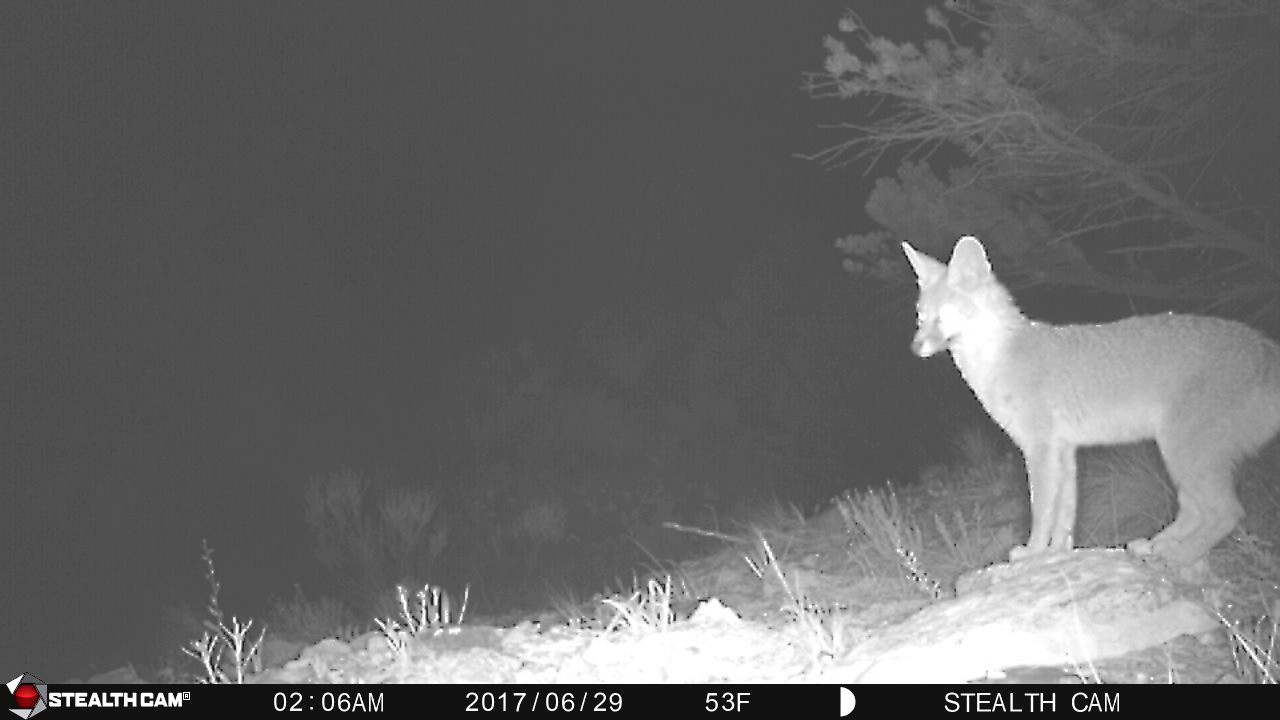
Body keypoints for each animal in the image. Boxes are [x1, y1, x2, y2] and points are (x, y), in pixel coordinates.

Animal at [903, 235, 1280, 565]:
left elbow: (1041, 509)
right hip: (1183, 459)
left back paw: (1177, 556)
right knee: (1196, 510)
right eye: (920, 316)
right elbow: (1064, 516)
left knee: (1226, 512)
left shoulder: (1040, 448)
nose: (914, 347)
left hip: (1185, 453)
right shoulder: (1065, 449)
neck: (1000, 357)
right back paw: (1157, 546)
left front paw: (1033, 552)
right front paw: (1057, 553)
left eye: (942, 316)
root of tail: (1264, 347)